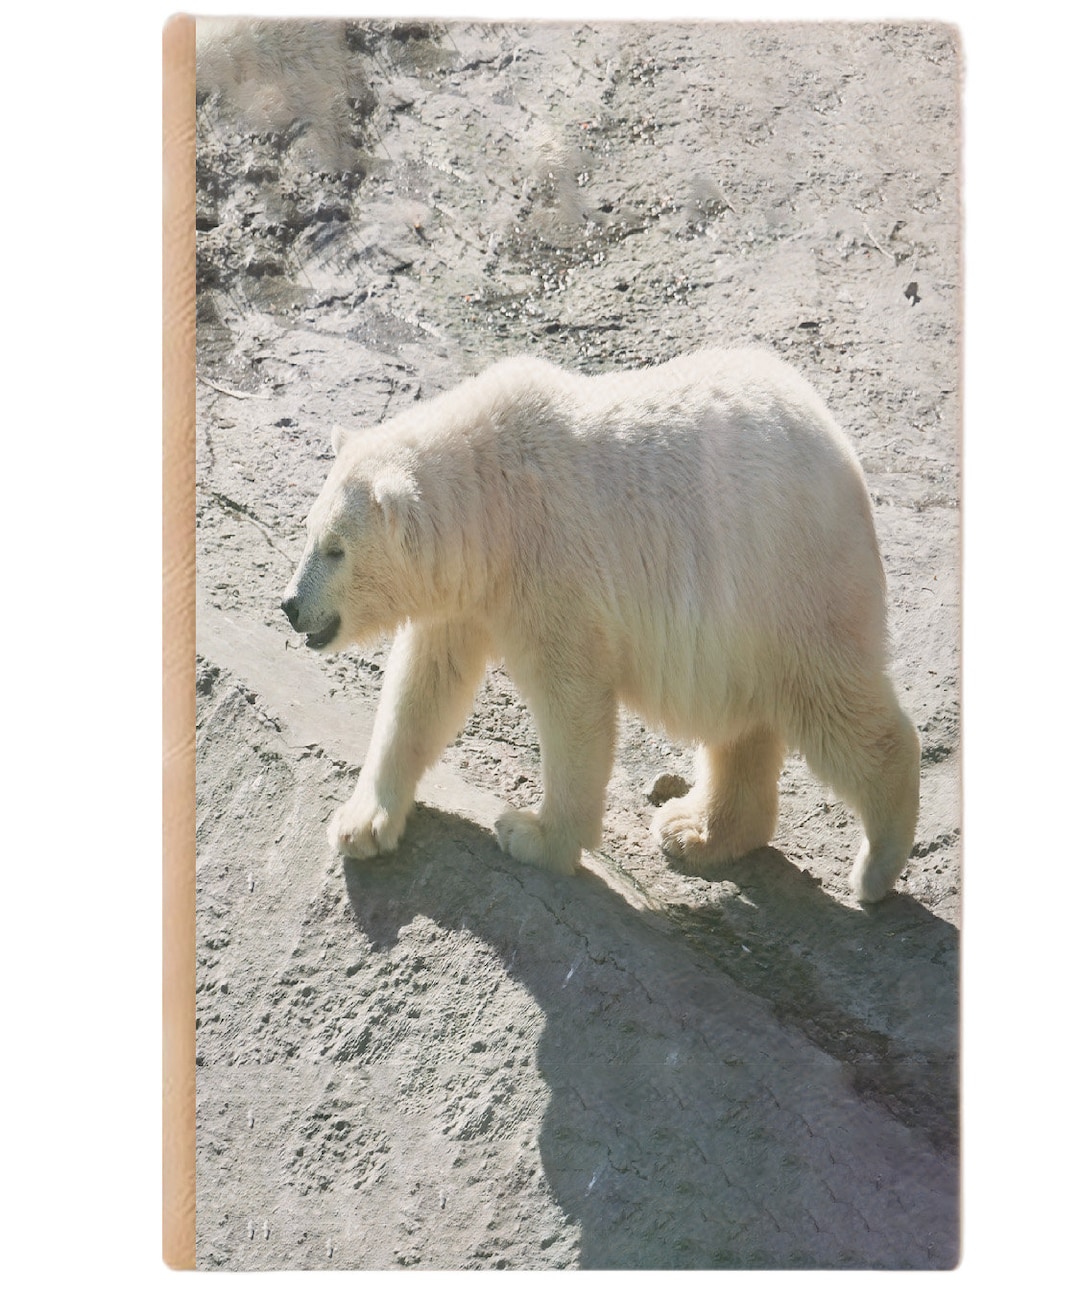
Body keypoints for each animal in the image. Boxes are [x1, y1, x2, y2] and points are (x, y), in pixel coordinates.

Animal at [280, 348, 920, 903]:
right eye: (310, 531)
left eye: (337, 550)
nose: (289, 605)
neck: (493, 503)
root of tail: (836, 444)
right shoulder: (466, 596)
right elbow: (422, 689)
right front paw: (361, 824)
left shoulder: (553, 565)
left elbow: (572, 699)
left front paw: (532, 836)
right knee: (745, 722)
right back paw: (695, 829)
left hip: (788, 575)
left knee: (833, 703)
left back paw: (875, 867)